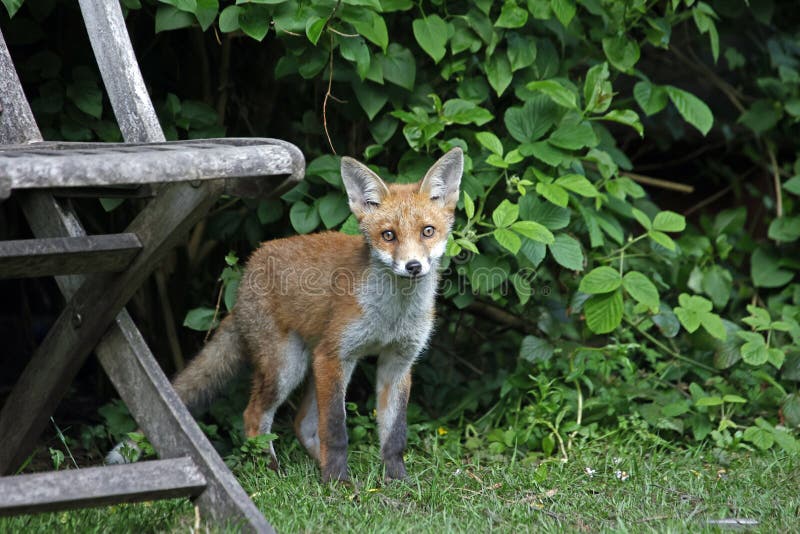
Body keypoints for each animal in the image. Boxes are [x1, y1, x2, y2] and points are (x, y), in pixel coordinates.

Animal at [108, 147, 463, 482]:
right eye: (388, 235)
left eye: (427, 231)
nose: (413, 266)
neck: (391, 316)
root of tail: (248, 271)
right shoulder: (335, 354)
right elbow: (336, 429)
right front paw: (339, 485)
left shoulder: (398, 362)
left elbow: (394, 433)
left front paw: (396, 481)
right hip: (288, 367)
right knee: (255, 416)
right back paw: (273, 471)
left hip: (313, 363)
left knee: (301, 423)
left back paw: (314, 468)